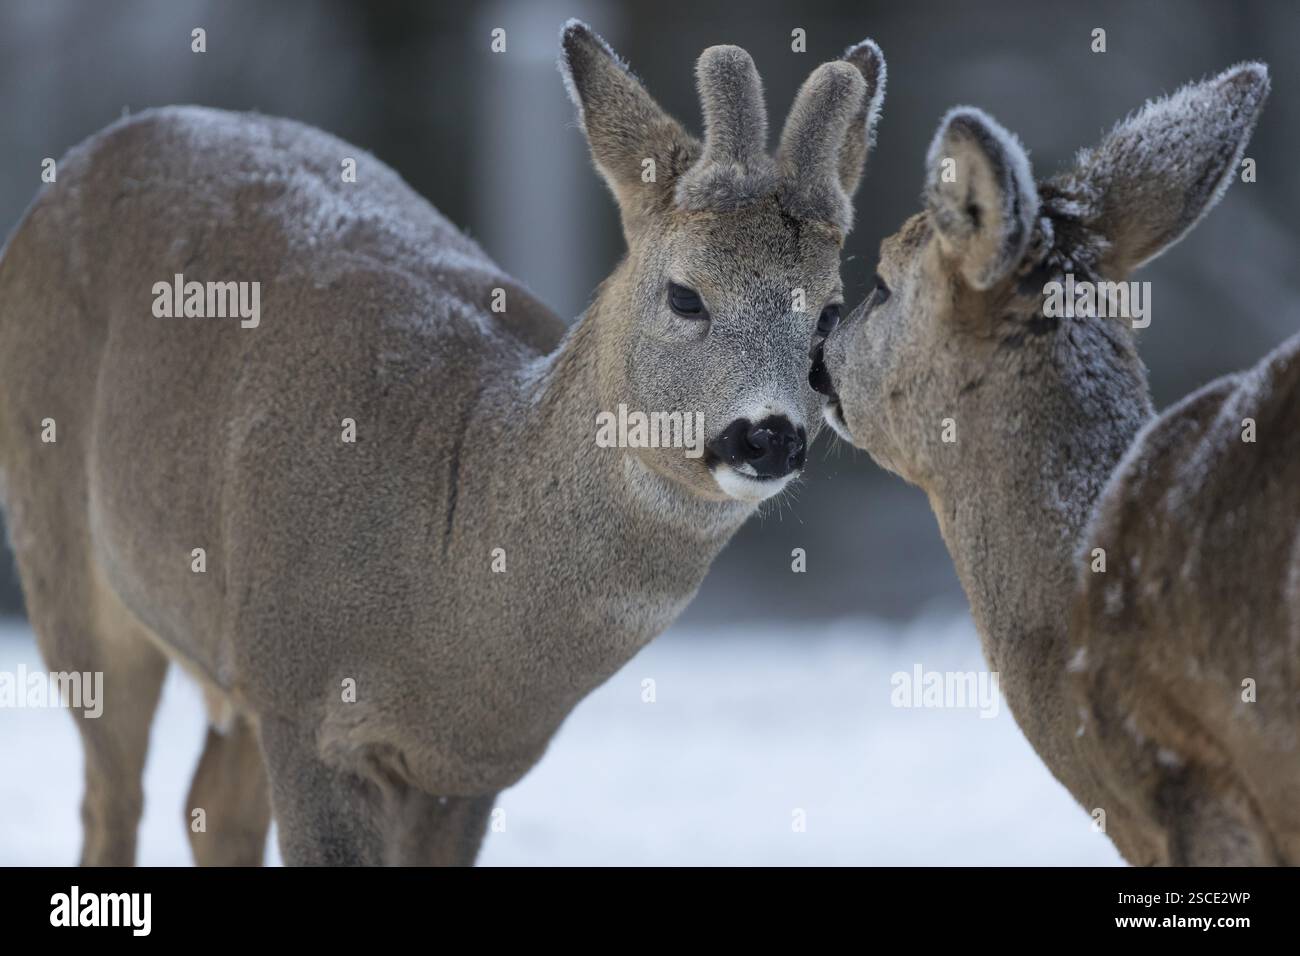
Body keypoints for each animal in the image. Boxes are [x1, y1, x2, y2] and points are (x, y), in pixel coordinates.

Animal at [0, 21, 886, 865]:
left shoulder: (459, 767)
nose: (768, 437)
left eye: (829, 314)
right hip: (66, 559)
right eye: (686, 295)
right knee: (112, 801)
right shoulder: (301, 696)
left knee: (209, 808)